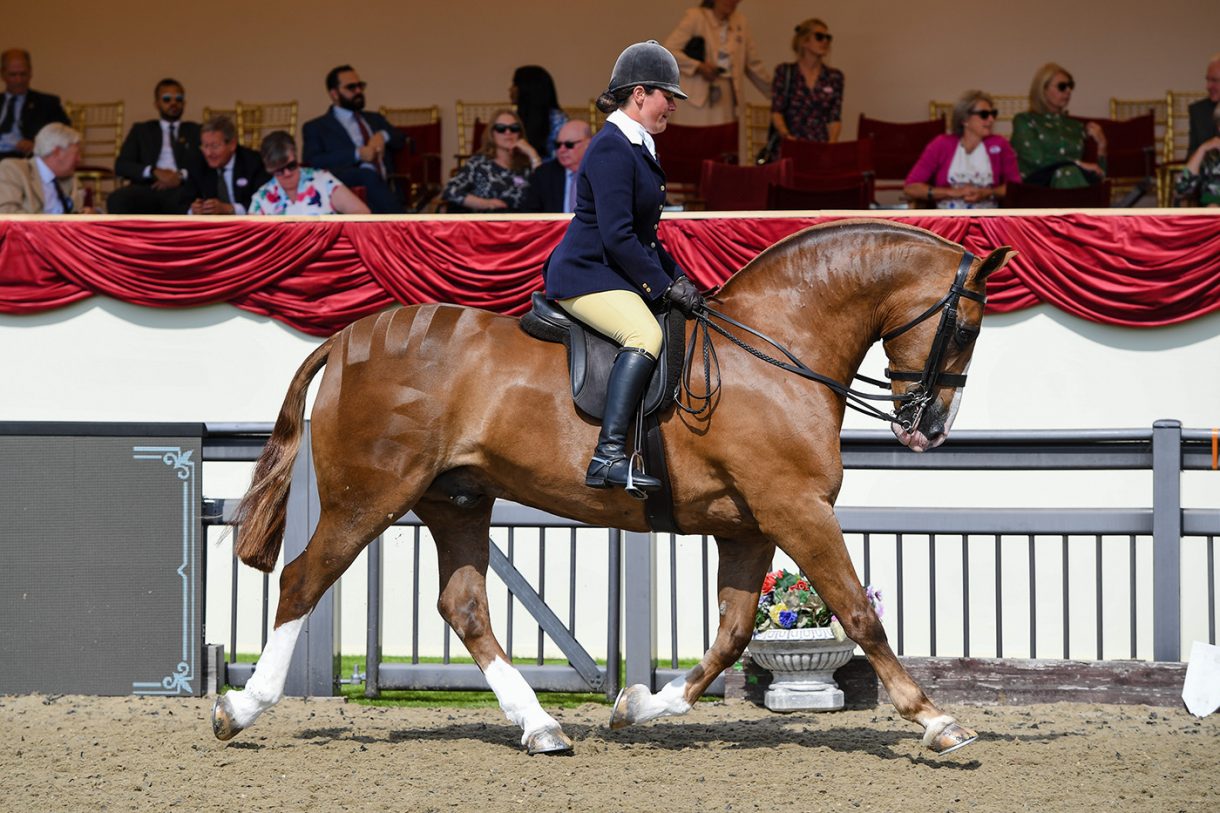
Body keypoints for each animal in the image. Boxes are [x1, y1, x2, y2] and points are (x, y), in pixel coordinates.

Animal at [211, 219, 1015, 756]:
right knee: (303, 579)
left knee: (464, 606)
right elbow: (857, 613)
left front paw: (639, 706)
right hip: (368, 497)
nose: (928, 429)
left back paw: (541, 726)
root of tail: (345, 338)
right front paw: (937, 720)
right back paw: (240, 708)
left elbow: (730, 635)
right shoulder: (796, 509)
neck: (775, 349)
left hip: (456, 499)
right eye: (967, 328)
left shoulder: (749, 525)